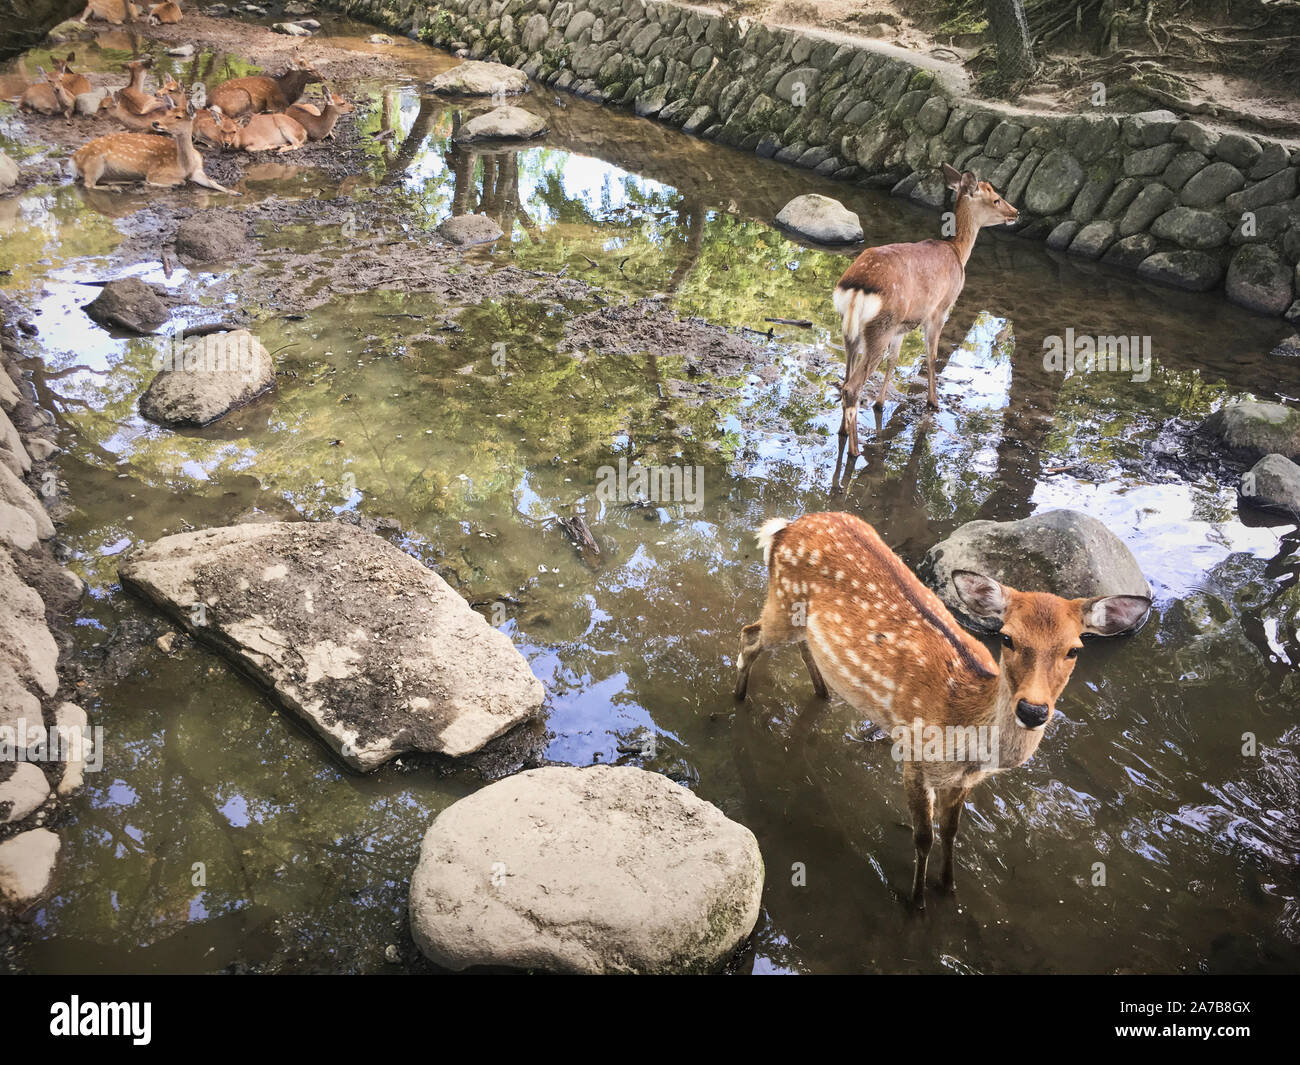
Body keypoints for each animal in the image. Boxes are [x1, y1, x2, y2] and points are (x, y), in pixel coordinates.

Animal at [73, 102, 238, 193]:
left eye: (178, 116)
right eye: (167, 112)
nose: (156, 123)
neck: (185, 166)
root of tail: (73, 159)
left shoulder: (198, 170)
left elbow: (212, 182)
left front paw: (235, 193)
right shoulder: (156, 172)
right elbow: (181, 182)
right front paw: (146, 182)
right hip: (95, 162)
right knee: (88, 184)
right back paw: (120, 187)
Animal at [733, 511, 1149, 909]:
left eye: (1074, 649)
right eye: (1007, 638)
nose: (1033, 710)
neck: (963, 736)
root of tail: (782, 529)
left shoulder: (962, 782)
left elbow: (951, 832)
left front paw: (948, 887)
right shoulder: (914, 758)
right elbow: (923, 837)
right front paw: (916, 900)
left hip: (799, 619)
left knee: (798, 644)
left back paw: (821, 695)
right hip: (783, 602)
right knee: (749, 634)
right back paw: (738, 699)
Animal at [832, 163, 1019, 462]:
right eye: (996, 198)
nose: (1016, 212)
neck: (957, 252)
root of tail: (856, 286)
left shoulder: (902, 326)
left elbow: (895, 360)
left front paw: (880, 403)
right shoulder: (939, 309)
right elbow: (931, 356)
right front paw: (934, 402)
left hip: (853, 330)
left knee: (846, 377)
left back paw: (843, 432)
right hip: (880, 327)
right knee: (853, 387)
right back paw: (855, 450)